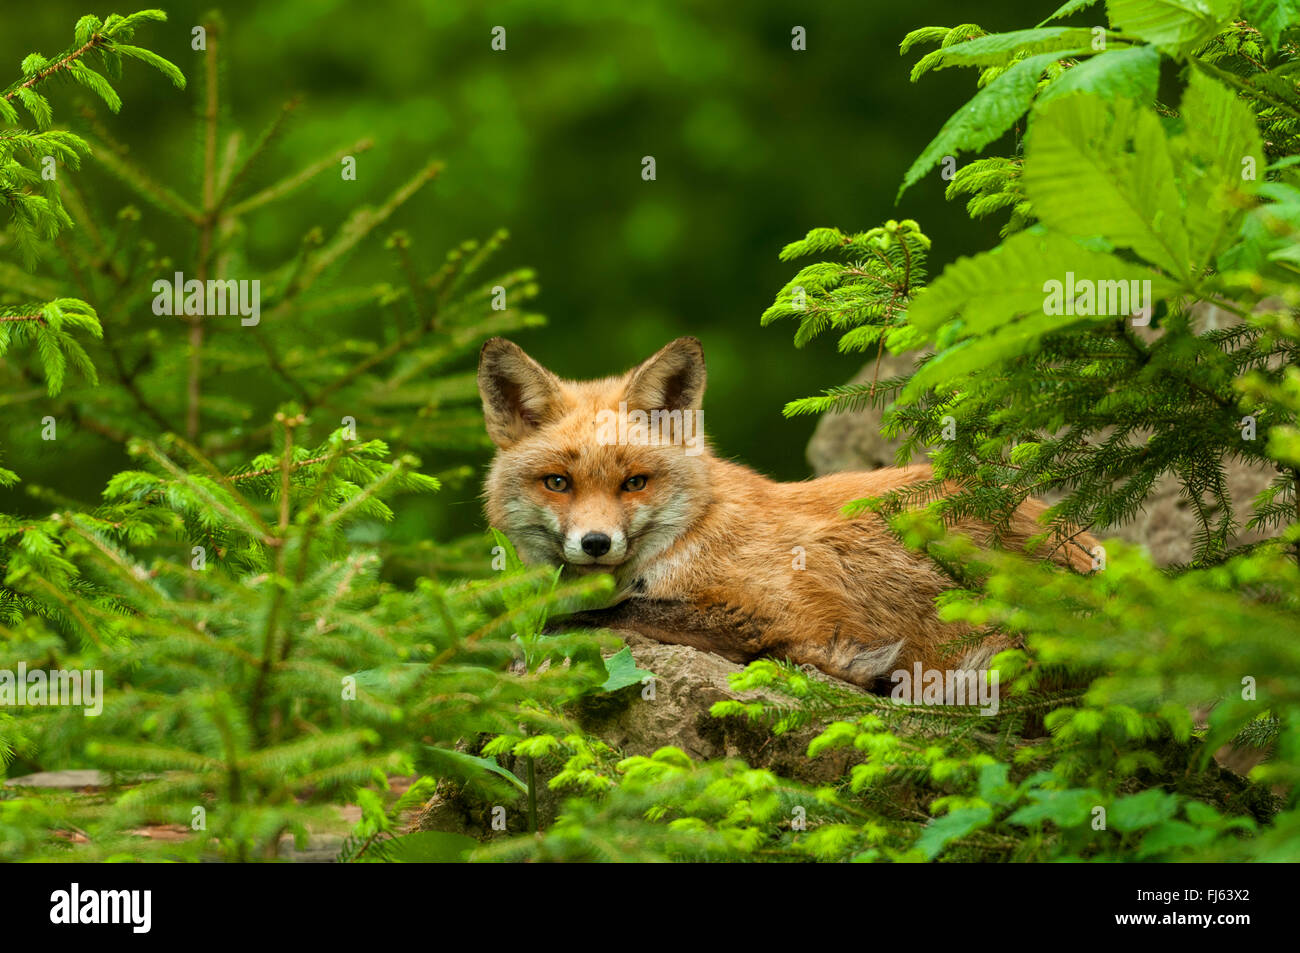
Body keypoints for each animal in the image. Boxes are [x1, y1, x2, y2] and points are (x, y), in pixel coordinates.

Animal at [477, 335, 1097, 690]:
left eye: (634, 483)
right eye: (558, 483)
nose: (597, 543)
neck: (692, 532)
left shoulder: (781, 612)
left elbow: (603, 615)